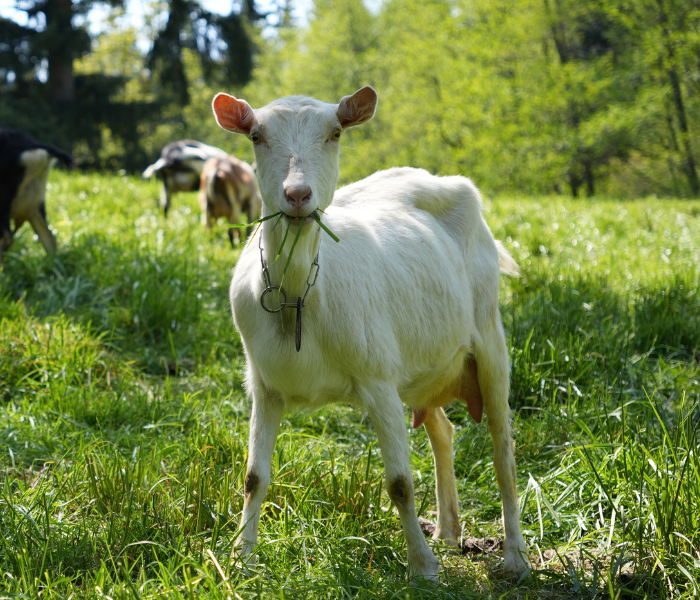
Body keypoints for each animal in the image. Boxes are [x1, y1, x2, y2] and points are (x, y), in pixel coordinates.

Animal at [212, 87, 530, 582]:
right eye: (256, 136)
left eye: (335, 133)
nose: (297, 195)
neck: (299, 297)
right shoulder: (264, 386)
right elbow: (253, 477)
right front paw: (241, 559)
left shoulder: (379, 379)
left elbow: (399, 483)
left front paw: (423, 567)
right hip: (422, 367)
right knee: (442, 430)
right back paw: (448, 531)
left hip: (488, 332)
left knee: (503, 448)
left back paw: (515, 556)